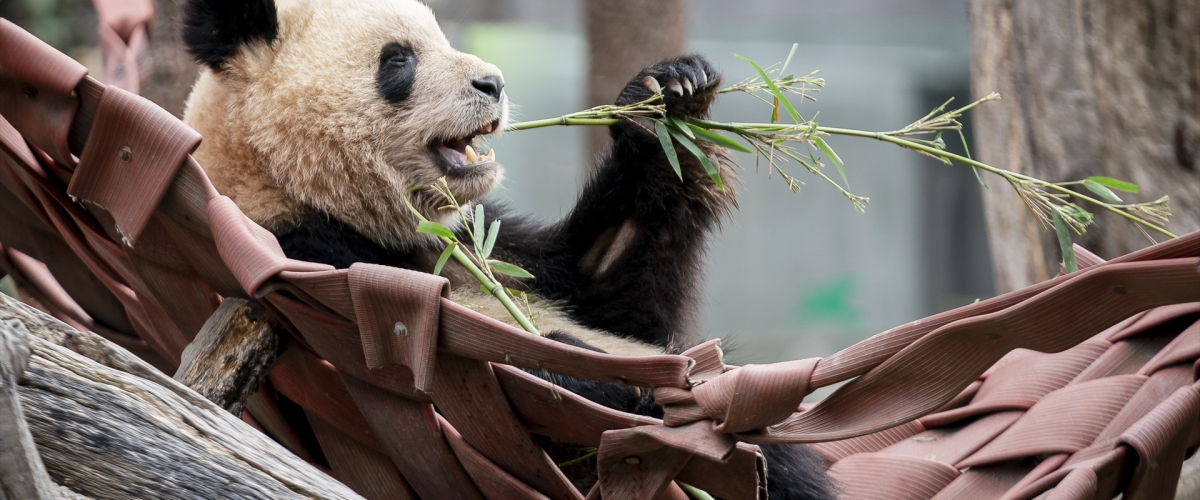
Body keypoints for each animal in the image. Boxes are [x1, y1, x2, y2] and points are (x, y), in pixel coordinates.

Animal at [180, 0, 834, 498]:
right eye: (398, 59)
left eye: (441, 35)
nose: (493, 83)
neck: (283, 180)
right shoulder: (314, 257)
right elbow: (495, 362)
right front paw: (632, 390)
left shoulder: (484, 240)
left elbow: (612, 296)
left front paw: (669, 95)